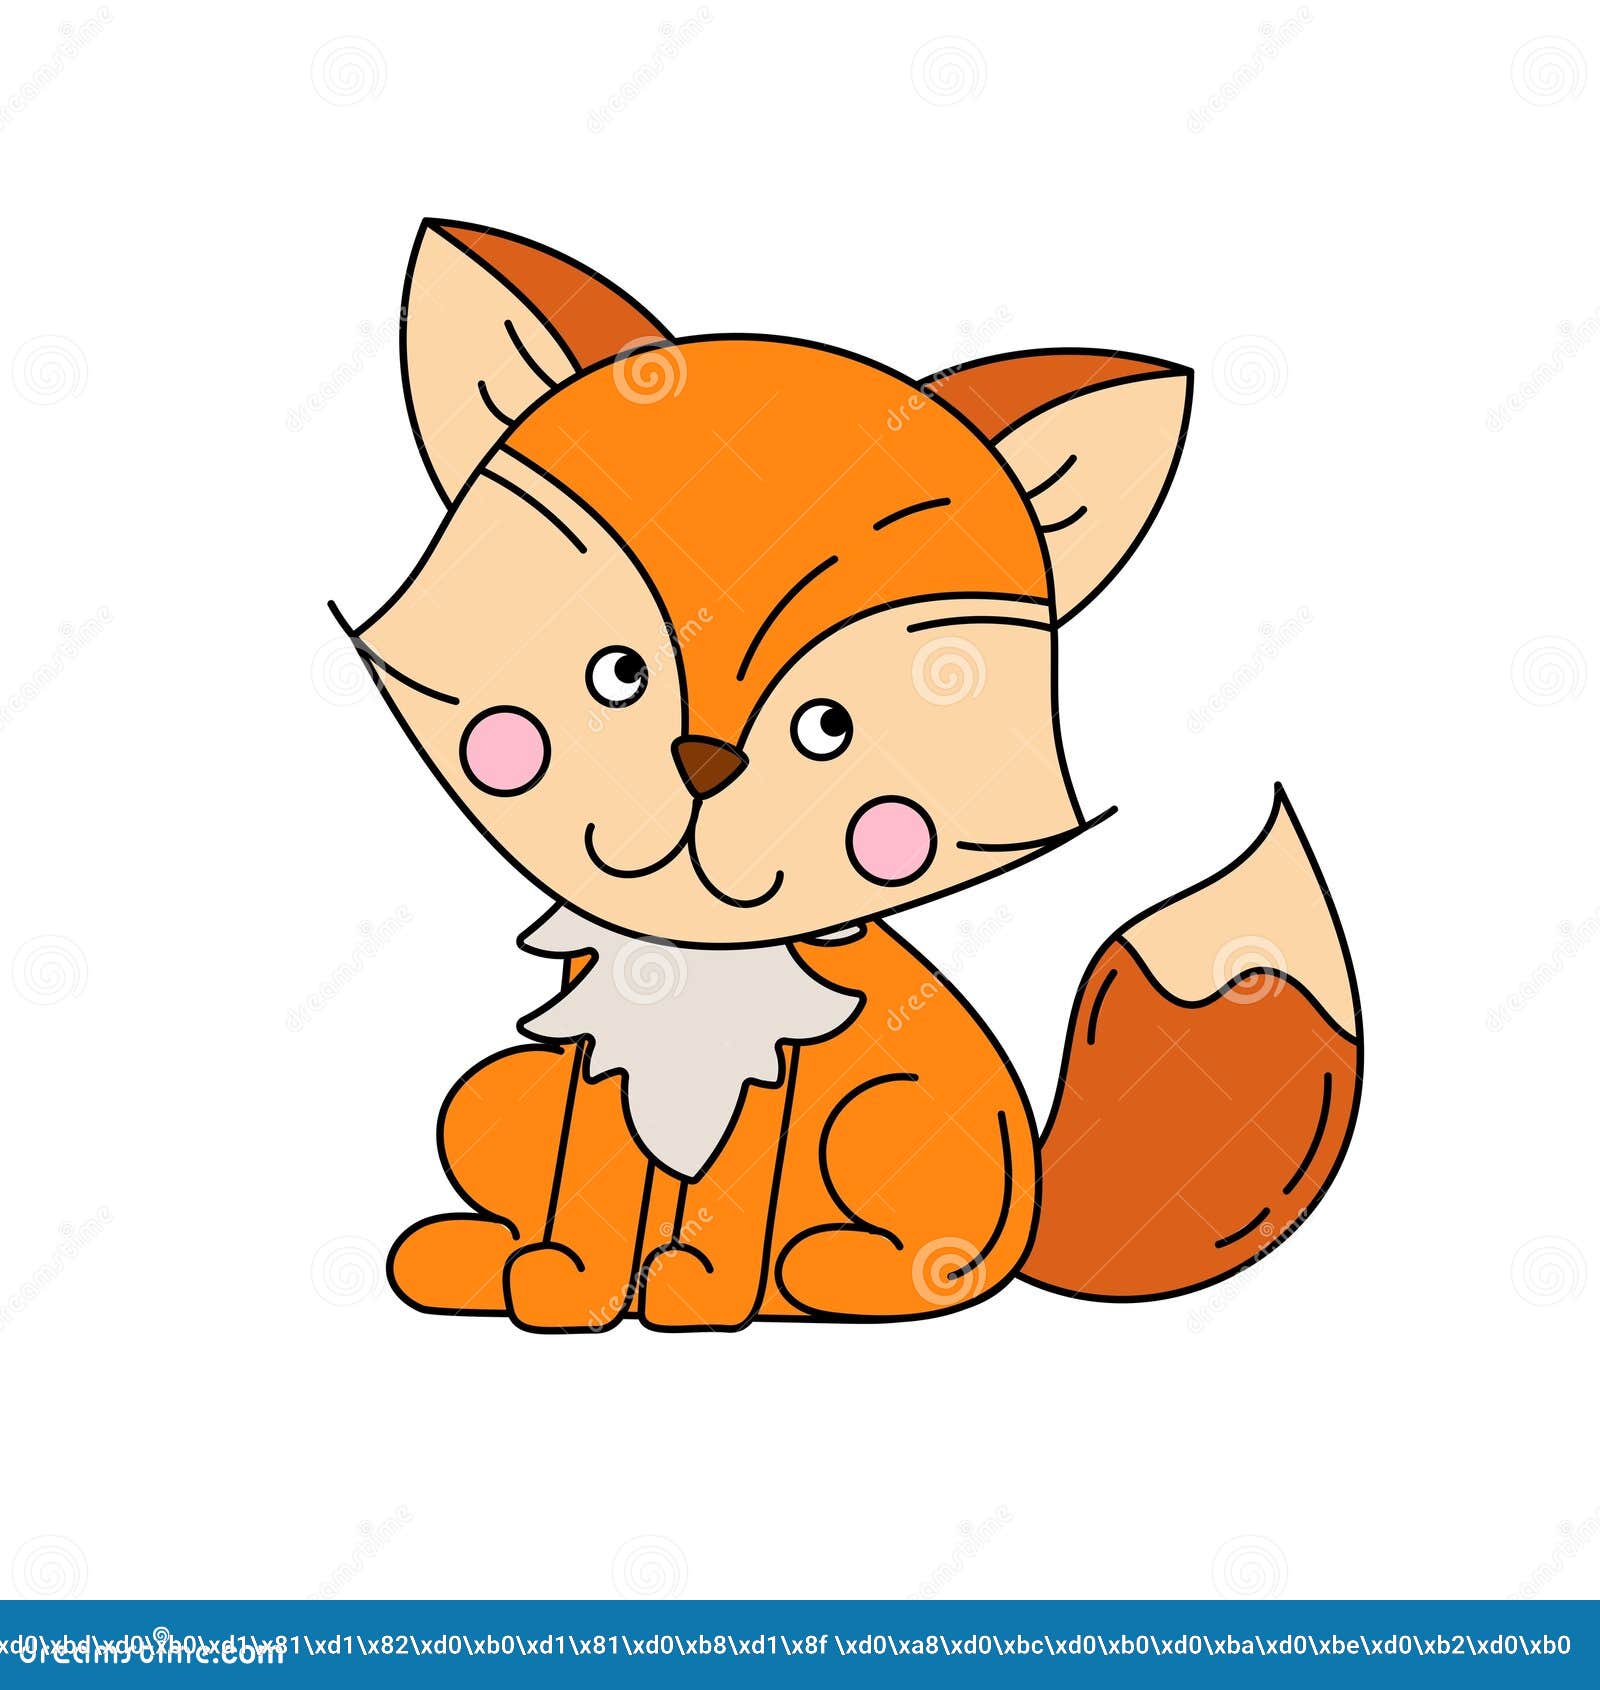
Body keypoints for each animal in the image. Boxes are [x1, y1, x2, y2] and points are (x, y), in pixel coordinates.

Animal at [332, 219, 1362, 1333]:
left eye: (828, 725)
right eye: (619, 672)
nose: (703, 762)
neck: (686, 967)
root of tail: (1041, 1205)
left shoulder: (771, 1079)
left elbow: (727, 1203)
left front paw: (698, 1293)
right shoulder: (590, 1056)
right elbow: (592, 1182)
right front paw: (570, 1285)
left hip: (884, 1116)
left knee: (951, 1268)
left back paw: (821, 1275)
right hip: (505, 1083)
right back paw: (467, 1257)